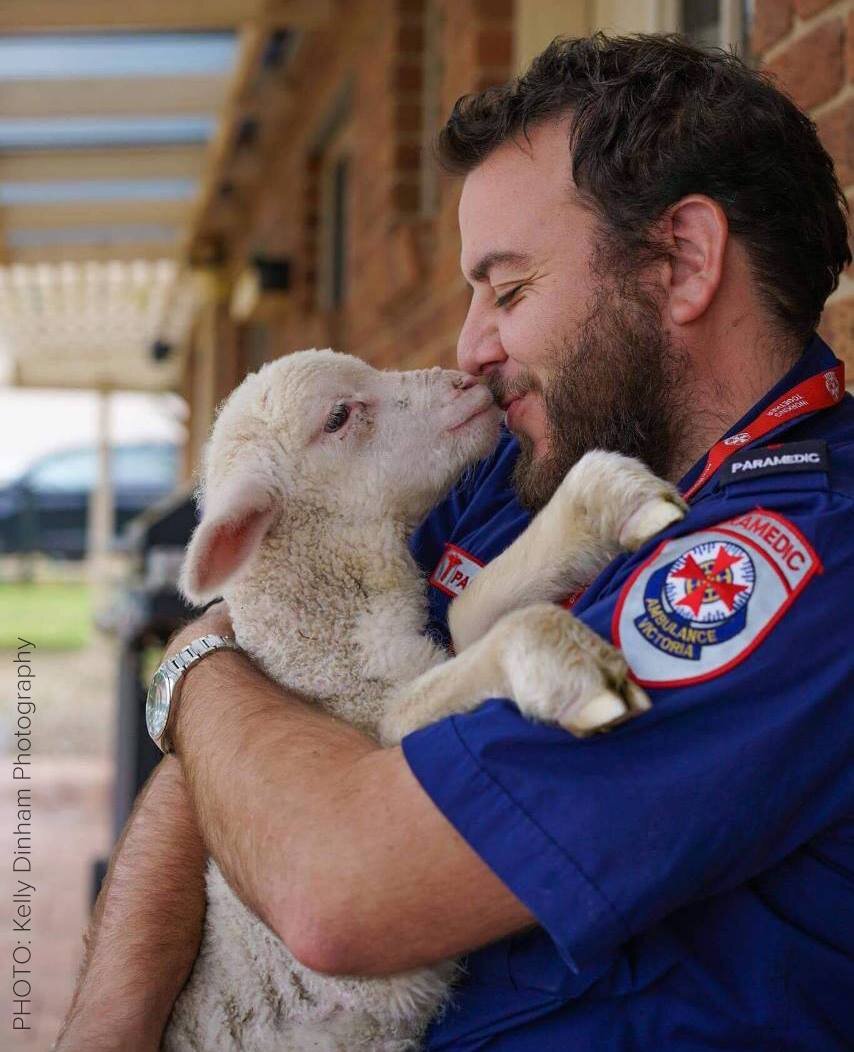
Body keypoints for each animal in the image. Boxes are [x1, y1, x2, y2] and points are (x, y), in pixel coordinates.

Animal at [165, 348, 685, 1052]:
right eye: (338, 417)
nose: (468, 382)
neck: (336, 670)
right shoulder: (383, 749)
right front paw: (572, 667)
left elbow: (470, 608)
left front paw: (615, 496)